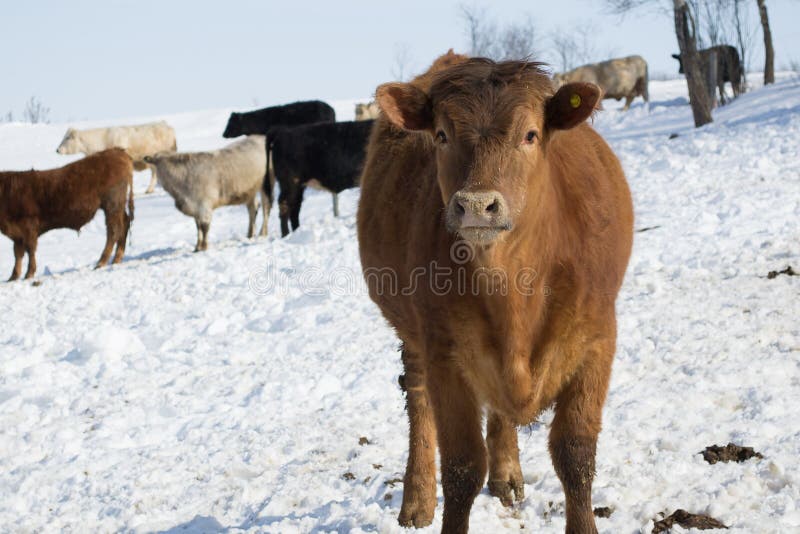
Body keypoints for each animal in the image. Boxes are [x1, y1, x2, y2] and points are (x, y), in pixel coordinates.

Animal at [0, 148, 134, 281]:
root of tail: (117, 151)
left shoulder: (29, 228)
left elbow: (30, 250)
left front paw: (29, 273)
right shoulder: (17, 234)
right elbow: (18, 253)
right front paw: (13, 276)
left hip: (112, 204)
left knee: (114, 231)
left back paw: (102, 262)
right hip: (117, 206)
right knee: (125, 223)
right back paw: (116, 259)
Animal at [358, 54, 633, 533]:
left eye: (530, 134)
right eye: (442, 135)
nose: (476, 205)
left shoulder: (598, 339)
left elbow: (575, 456)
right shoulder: (445, 352)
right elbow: (462, 467)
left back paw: (507, 474)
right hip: (413, 335)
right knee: (418, 399)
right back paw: (417, 499)